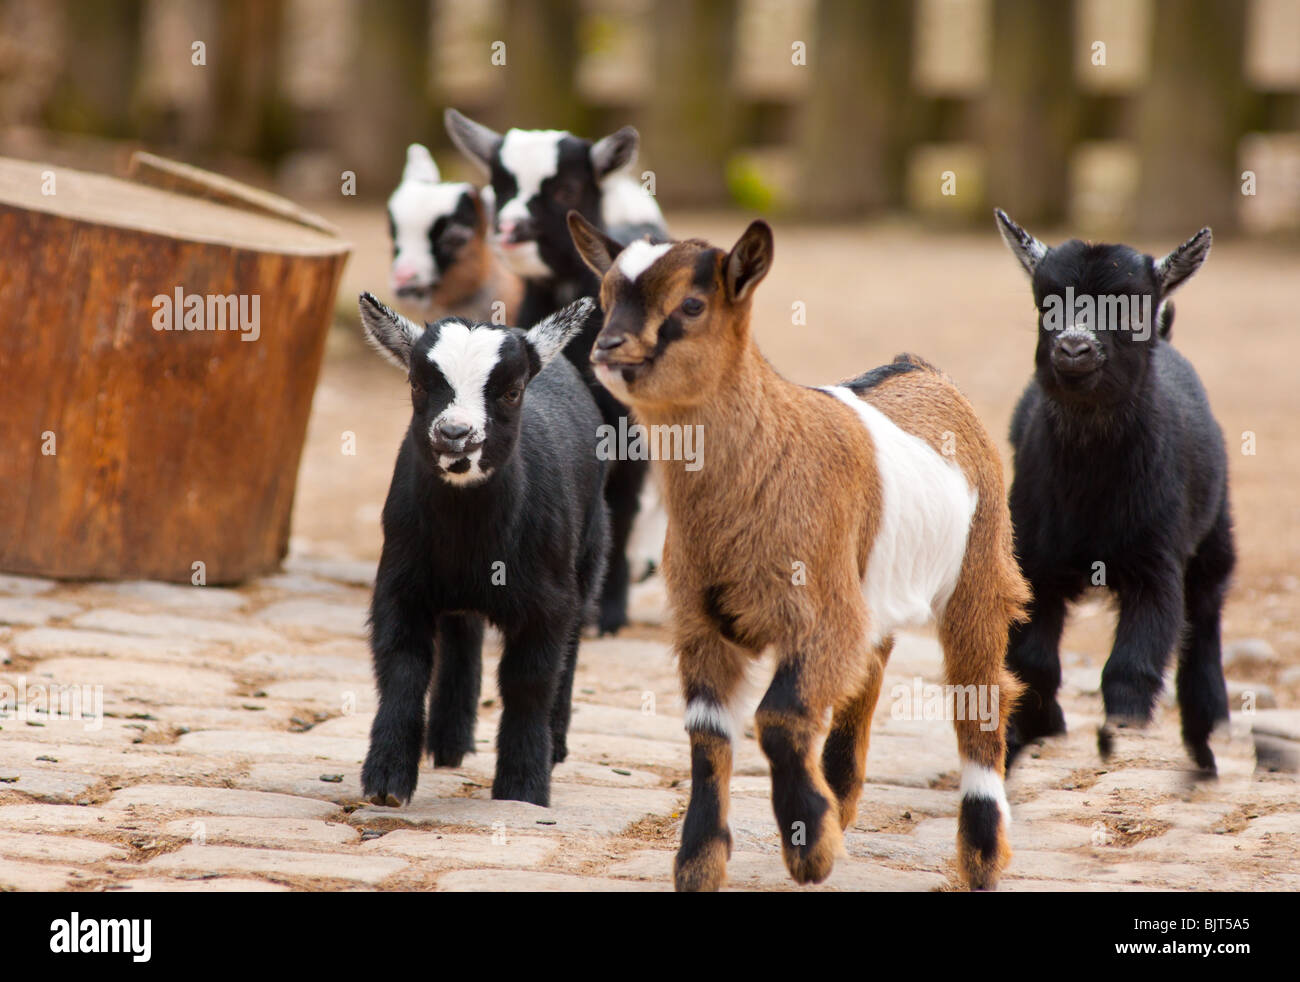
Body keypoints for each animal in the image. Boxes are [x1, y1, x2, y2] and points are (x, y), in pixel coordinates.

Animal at [357, 292, 608, 808]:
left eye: (511, 392)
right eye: (417, 383)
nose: (455, 433)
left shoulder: (549, 603)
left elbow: (530, 681)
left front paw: (523, 789)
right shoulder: (399, 586)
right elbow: (403, 667)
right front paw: (387, 780)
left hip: (592, 550)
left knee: (571, 644)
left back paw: (555, 745)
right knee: (462, 632)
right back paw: (448, 743)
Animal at [445, 108, 670, 634]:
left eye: (567, 189)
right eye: (501, 185)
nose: (511, 228)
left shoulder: (628, 424)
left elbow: (621, 505)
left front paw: (607, 613)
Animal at [568, 211, 1030, 892]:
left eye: (692, 304)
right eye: (603, 298)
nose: (608, 347)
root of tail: (919, 369)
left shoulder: (819, 612)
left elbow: (779, 716)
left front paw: (809, 846)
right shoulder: (701, 620)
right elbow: (708, 733)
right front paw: (700, 862)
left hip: (980, 567)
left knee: (980, 696)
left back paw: (981, 855)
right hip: (873, 587)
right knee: (869, 670)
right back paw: (842, 794)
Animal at [994, 209, 1233, 774]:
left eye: (1133, 306)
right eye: (1045, 301)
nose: (1074, 348)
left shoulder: (1156, 567)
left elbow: (1131, 666)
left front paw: (1120, 736)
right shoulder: (1033, 560)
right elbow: (1032, 659)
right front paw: (1037, 727)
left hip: (1215, 534)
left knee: (1206, 614)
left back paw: (1209, 736)